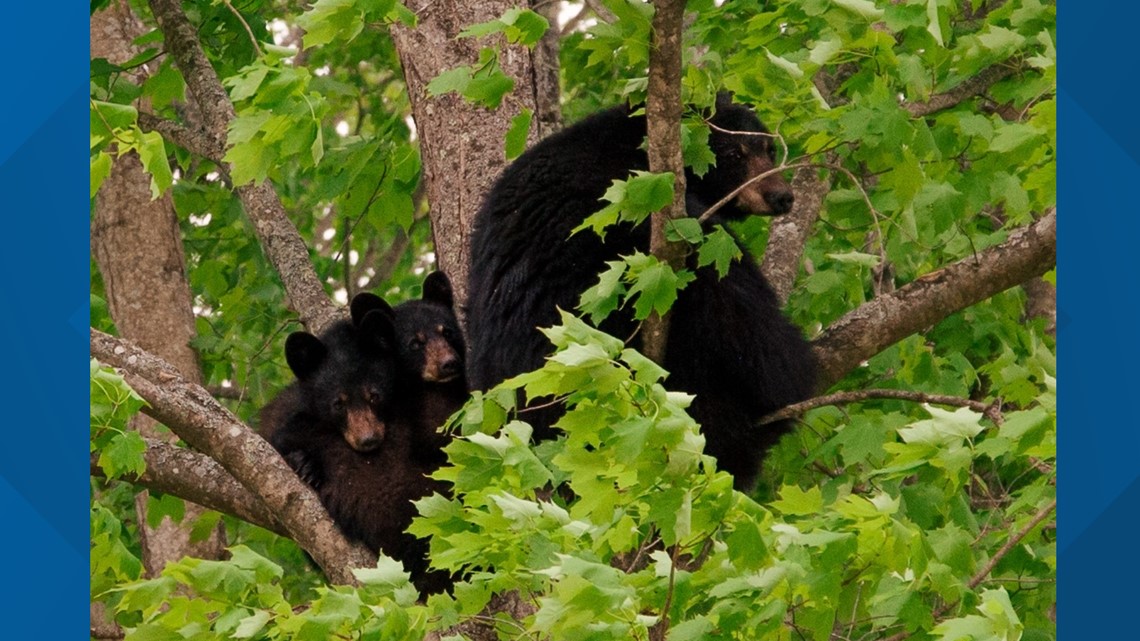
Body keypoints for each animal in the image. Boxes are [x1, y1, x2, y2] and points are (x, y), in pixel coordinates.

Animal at [260, 294, 452, 595]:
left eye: (374, 395)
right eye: (338, 403)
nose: (368, 439)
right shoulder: (290, 418)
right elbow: (282, 439)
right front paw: (304, 465)